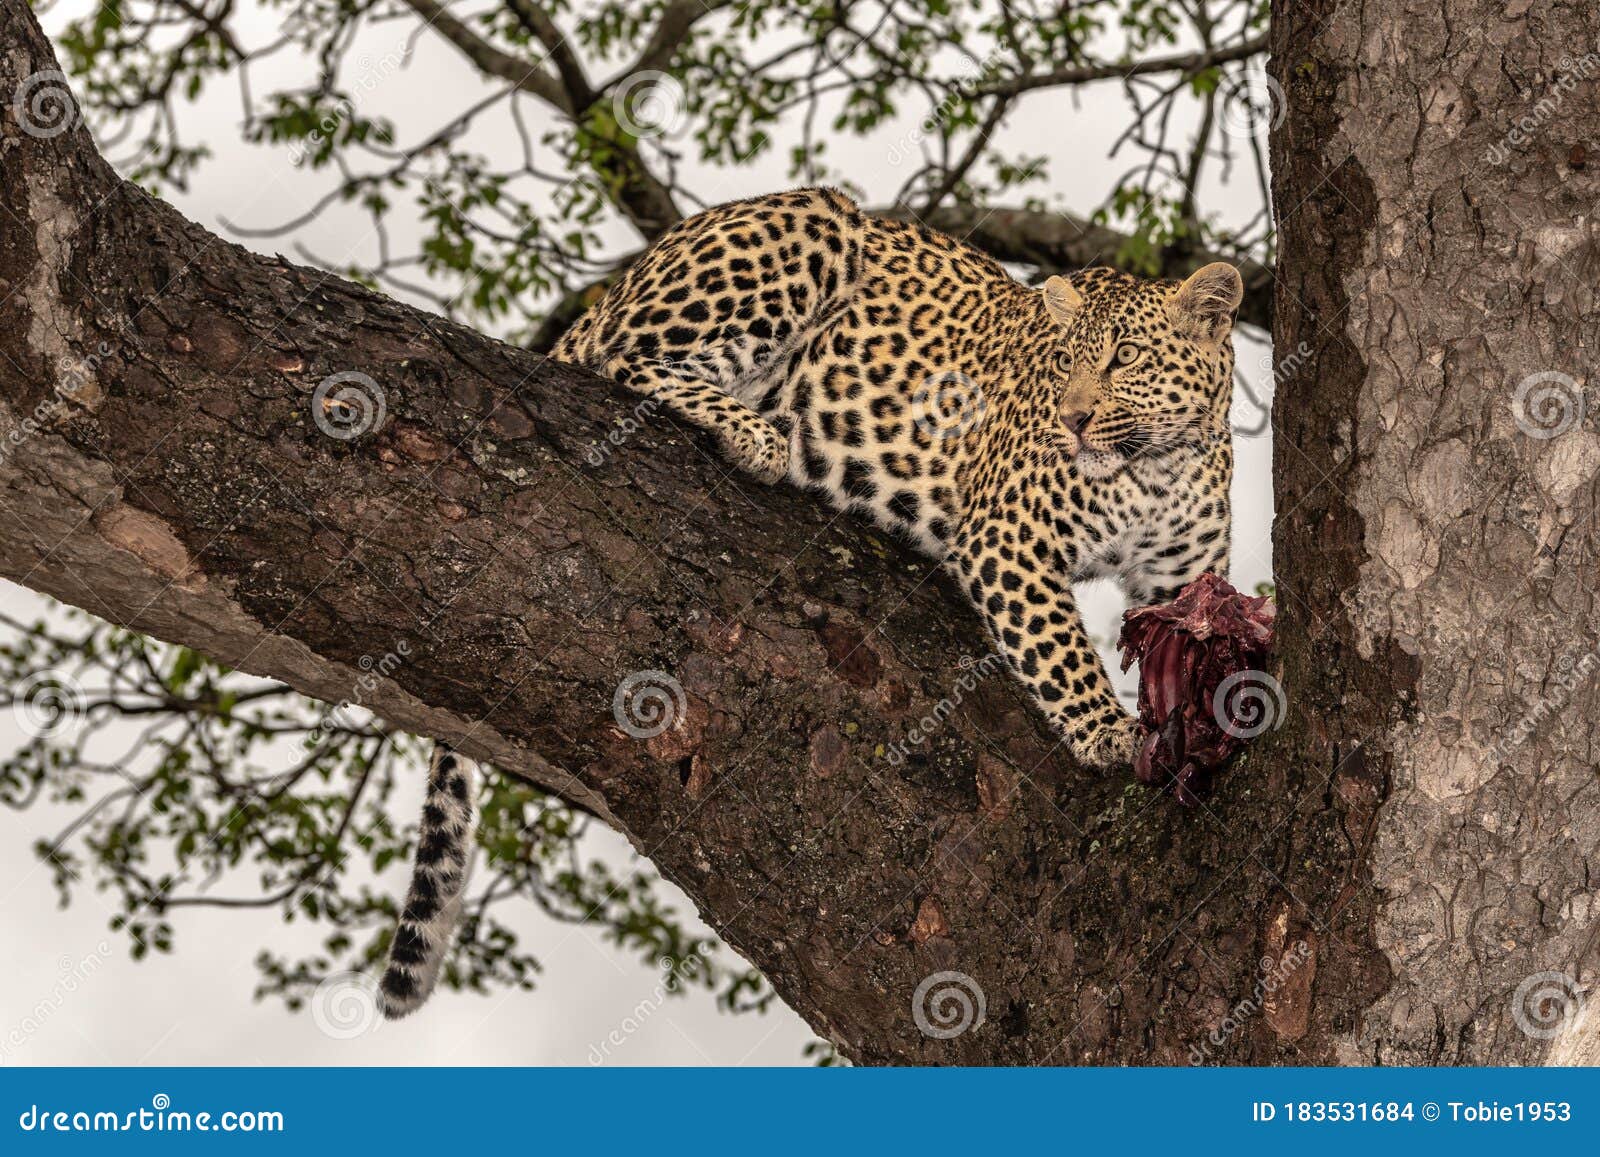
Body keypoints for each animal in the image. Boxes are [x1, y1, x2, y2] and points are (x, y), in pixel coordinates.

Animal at [380, 186, 1241, 1016]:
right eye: (1062, 364)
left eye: (1125, 356)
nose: (1072, 418)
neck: (1158, 465)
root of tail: (618, 284)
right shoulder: (1007, 535)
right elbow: (1059, 648)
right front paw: (1108, 730)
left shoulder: (1181, 579)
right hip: (812, 225)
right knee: (626, 360)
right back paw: (761, 433)